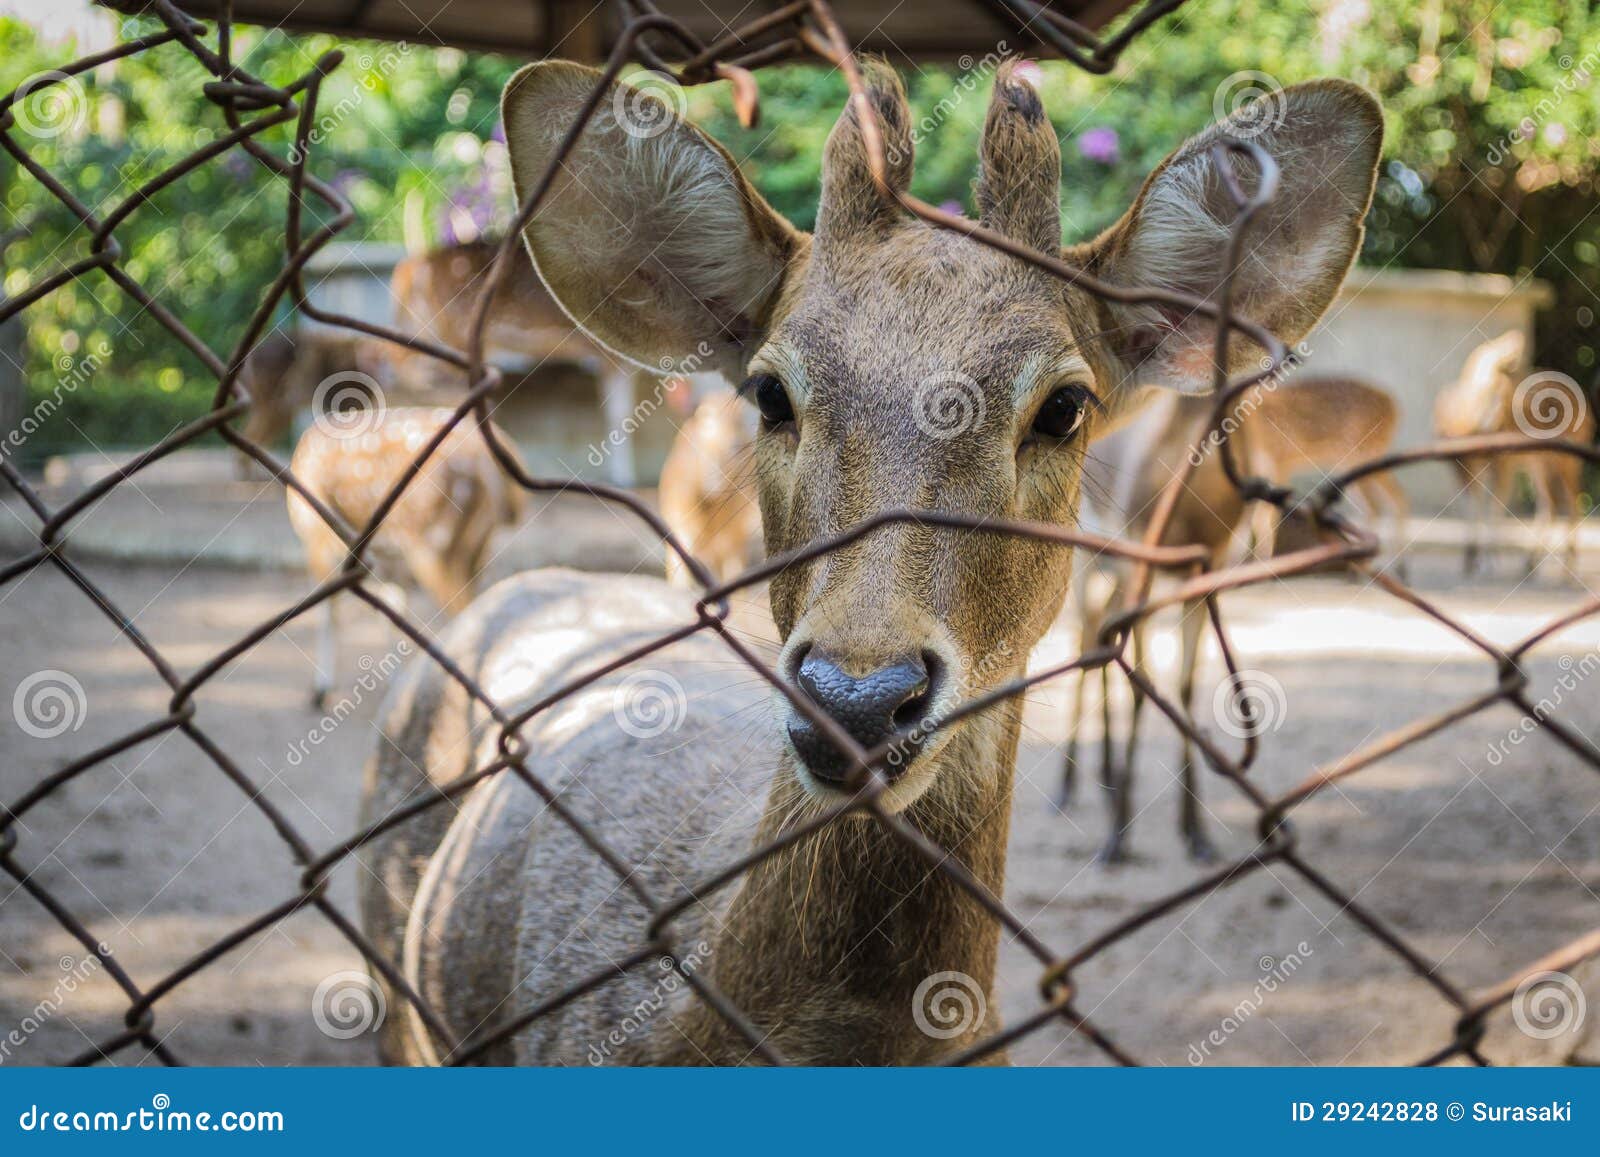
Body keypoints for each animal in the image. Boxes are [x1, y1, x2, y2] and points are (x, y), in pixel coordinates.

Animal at [286, 406, 524, 709]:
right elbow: (392, 611)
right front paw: (394, 686)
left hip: (436, 543)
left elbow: (329, 611)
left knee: (465, 612)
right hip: (477, 544)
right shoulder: (388, 558)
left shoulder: (316, 538)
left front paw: (321, 690)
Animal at [1060, 375, 1404, 863]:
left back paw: (1104, 777)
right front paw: (1118, 838)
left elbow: (1185, 686)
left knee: (1097, 639)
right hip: (1087, 561)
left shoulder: (1203, 577)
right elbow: (1142, 686)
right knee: (1085, 637)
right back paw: (1068, 789)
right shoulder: (1139, 564)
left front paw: (1196, 834)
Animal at [1434, 330, 1594, 577]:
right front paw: (1470, 558)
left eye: (1496, 389)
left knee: (1572, 501)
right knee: (1550, 502)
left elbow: (1494, 507)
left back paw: (1566, 567)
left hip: (1566, 461)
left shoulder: (1503, 465)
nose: (1490, 424)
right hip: (1538, 464)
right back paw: (1531, 563)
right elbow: (1472, 506)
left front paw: (1489, 561)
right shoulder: (1464, 469)